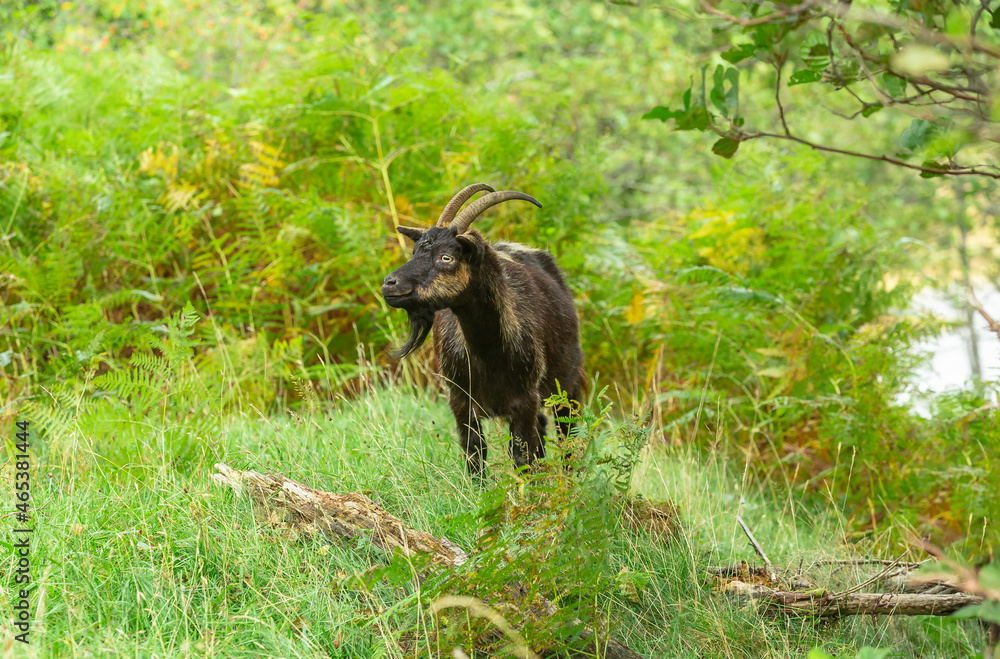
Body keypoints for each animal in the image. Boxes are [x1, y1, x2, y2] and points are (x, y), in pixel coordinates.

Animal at [380, 183, 585, 476]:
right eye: (415, 252)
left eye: (446, 257)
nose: (390, 283)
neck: (489, 353)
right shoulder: (461, 401)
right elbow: (475, 454)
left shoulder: (524, 401)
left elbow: (523, 457)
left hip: (567, 382)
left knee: (568, 432)